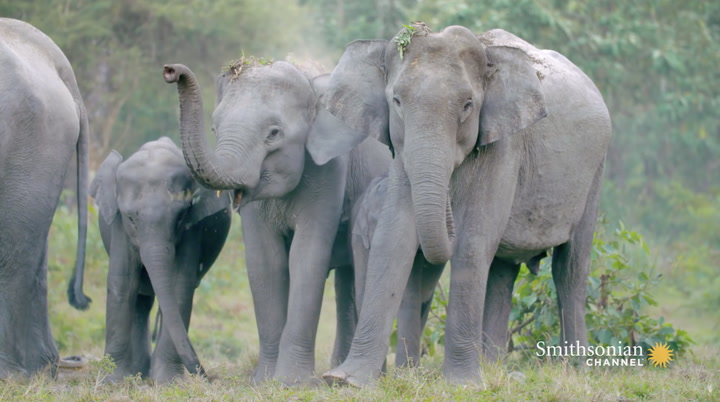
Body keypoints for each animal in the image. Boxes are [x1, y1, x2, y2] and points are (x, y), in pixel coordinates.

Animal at [70, 137, 232, 383]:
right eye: (130, 218)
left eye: (180, 218)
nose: (207, 377)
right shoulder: (119, 226)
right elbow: (121, 282)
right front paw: (112, 379)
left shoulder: (193, 230)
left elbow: (180, 285)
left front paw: (167, 381)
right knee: (141, 300)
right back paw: (138, 372)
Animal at [163, 60, 392, 384]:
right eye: (214, 128)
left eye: (273, 133)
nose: (170, 70)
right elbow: (265, 262)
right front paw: (264, 382)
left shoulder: (329, 168)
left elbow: (305, 257)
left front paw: (292, 382)